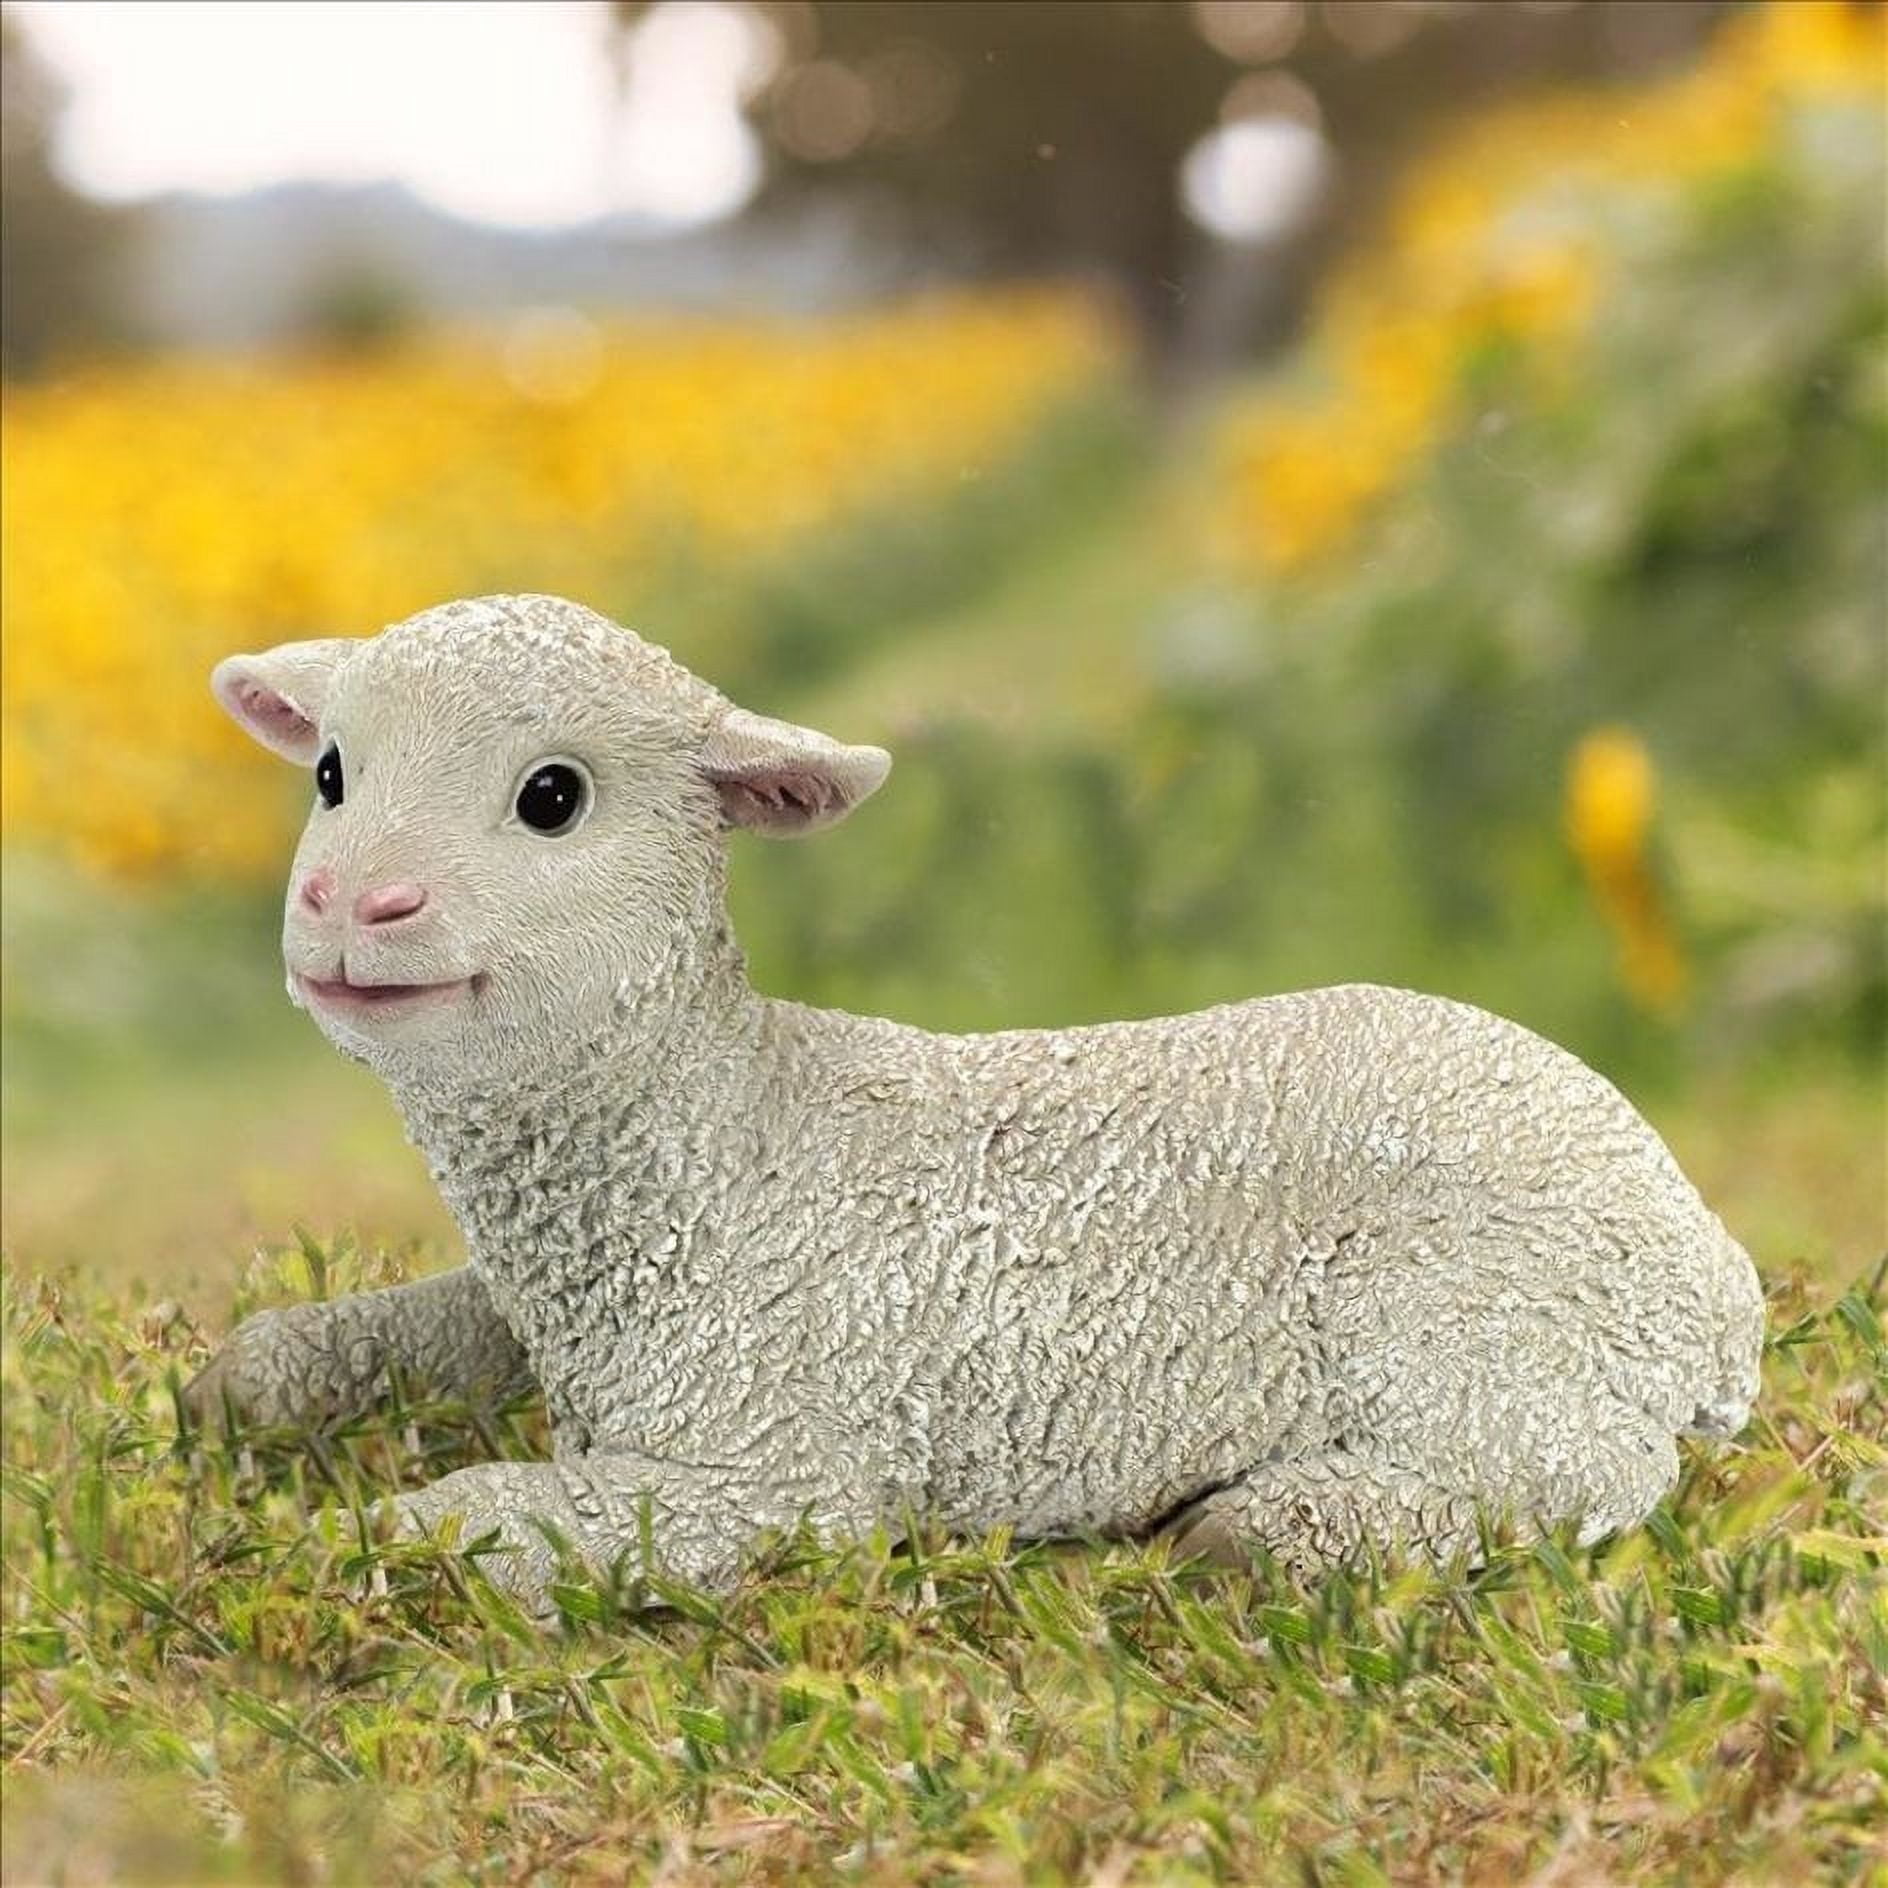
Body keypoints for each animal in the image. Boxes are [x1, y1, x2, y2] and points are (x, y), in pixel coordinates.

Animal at [187, 592, 1765, 1606]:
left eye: (553, 797)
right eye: (329, 773)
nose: (349, 904)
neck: (717, 1140)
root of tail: (1707, 1257)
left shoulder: (781, 1456)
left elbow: (491, 1522)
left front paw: (384, 1533)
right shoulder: (551, 1315)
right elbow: (387, 1336)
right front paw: (253, 1377)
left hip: (1490, 1305)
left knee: (1569, 1463)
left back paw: (1283, 1524)